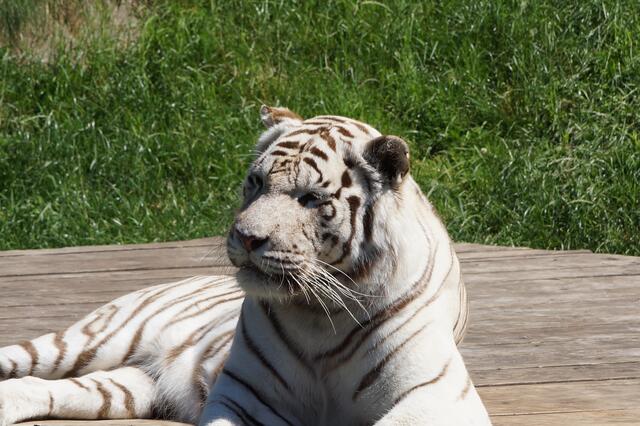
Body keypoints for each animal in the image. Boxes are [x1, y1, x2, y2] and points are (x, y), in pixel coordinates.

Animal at [0, 106, 491, 426]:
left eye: (309, 198)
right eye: (256, 182)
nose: (247, 237)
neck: (322, 316)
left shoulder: (436, 397)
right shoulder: (246, 398)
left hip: (125, 387)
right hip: (92, 340)